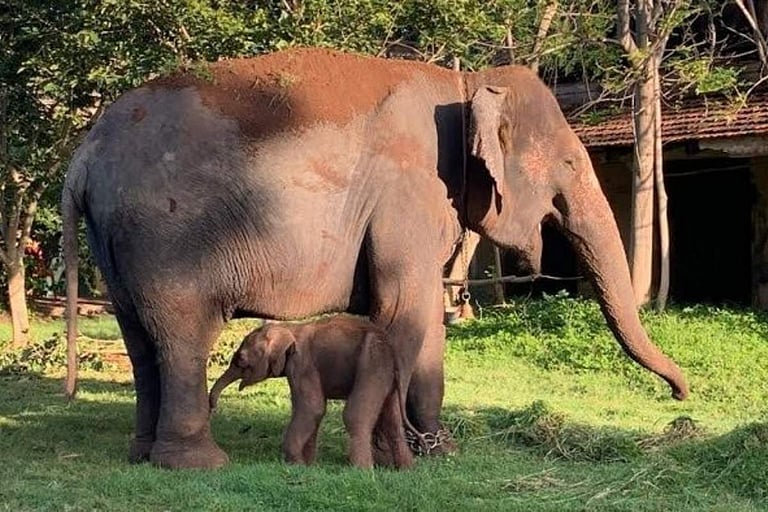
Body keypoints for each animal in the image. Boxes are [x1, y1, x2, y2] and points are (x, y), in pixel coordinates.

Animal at [208, 316, 415, 469]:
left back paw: (362, 470)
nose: (212, 406)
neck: (289, 328)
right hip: (386, 374)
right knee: (391, 421)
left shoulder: (302, 364)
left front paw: (296, 465)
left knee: (354, 416)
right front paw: (308, 465)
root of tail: (392, 349)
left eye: (241, 360)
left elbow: (312, 408)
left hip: (372, 362)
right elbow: (312, 412)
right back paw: (406, 469)